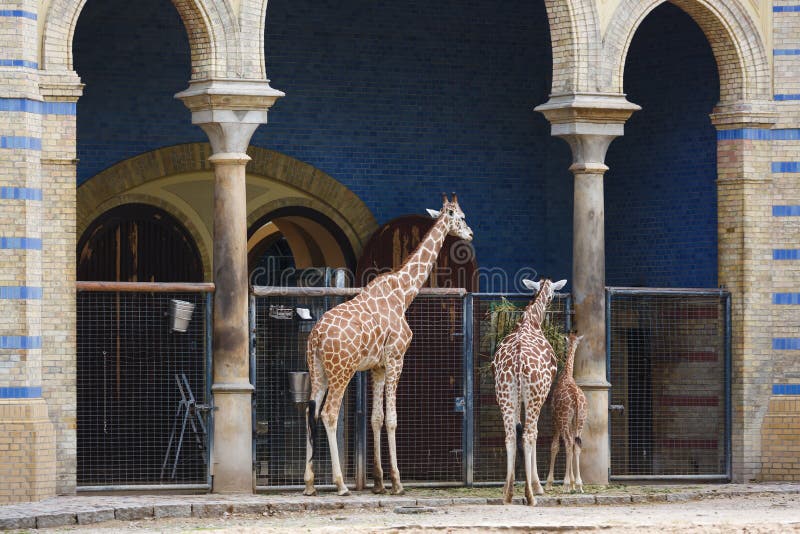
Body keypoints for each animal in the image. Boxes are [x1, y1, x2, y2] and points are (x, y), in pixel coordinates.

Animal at [303, 194, 473, 497]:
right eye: (462, 216)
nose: (471, 234)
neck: (403, 293)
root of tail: (316, 337)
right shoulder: (396, 359)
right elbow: (392, 418)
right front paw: (397, 482)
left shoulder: (377, 367)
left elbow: (376, 418)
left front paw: (379, 481)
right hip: (341, 371)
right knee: (329, 413)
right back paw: (340, 484)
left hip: (318, 371)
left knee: (308, 413)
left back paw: (310, 484)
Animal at [493, 276, 567, 505]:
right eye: (552, 293)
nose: (551, 300)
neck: (530, 321)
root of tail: (517, 361)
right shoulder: (541, 393)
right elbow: (534, 433)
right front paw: (537, 485)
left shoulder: (518, 398)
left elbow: (517, 429)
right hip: (535, 395)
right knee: (529, 434)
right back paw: (531, 494)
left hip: (504, 393)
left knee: (510, 435)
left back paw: (508, 493)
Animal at [545, 331, 588, 493]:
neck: (567, 375)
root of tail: (575, 397)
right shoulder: (571, 422)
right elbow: (572, 445)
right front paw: (574, 483)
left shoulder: (555, 419)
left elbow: (555, 446)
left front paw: (550, 483)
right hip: (581, 420)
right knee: (577, 444)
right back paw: (579, 485)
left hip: (563, 419)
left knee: (569, 443)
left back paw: (565, 484)